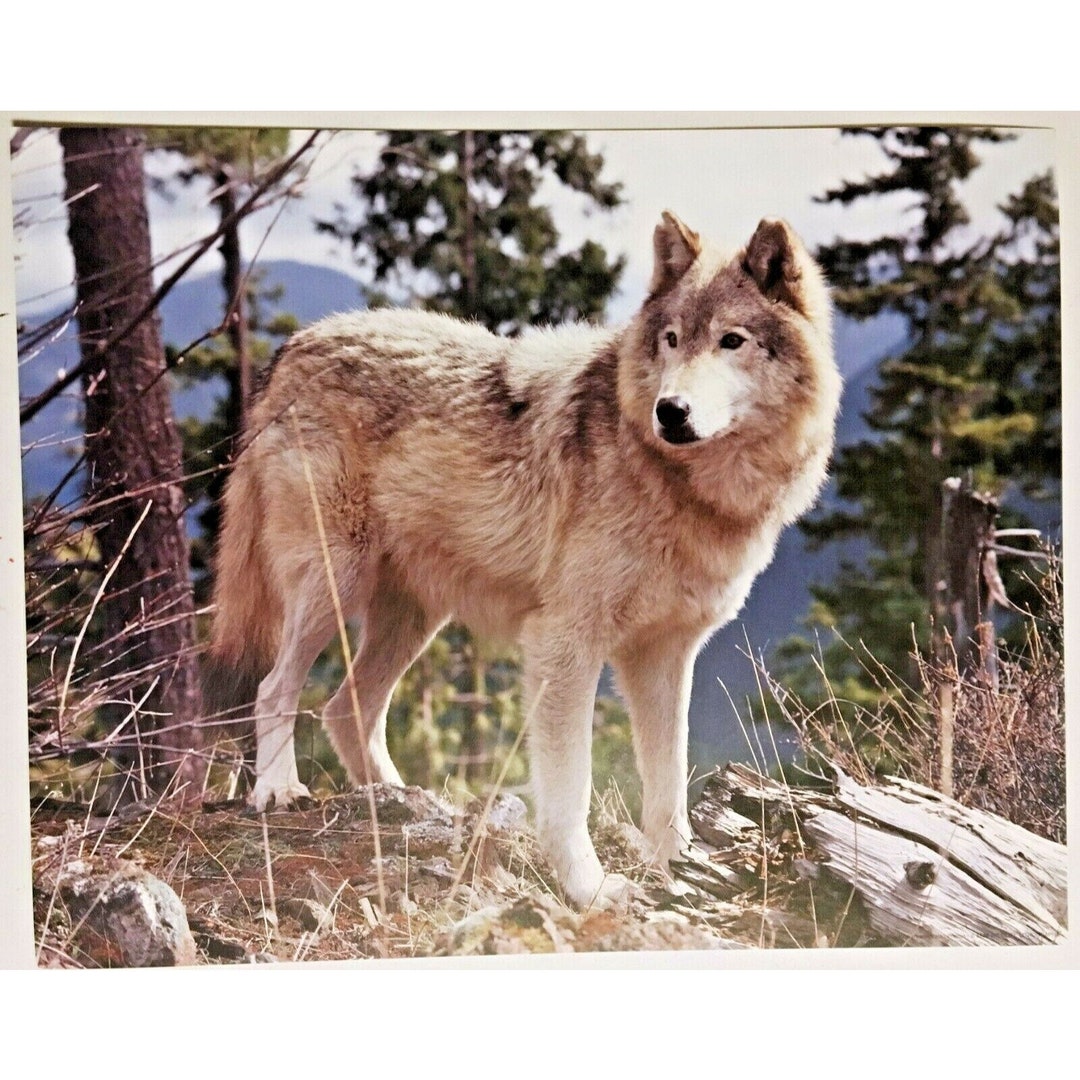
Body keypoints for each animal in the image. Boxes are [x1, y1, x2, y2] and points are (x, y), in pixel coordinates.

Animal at [209, 212, 840, 908]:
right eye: (672, 340)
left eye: (731, 341)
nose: (670, 412)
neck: (686, 490)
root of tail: (294, 346)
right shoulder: (564, 643)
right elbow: (571, 791)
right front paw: (591, 889)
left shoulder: (666, 656)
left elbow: (669, 782)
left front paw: (678, 868)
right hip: (333, 585)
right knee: (274, 687)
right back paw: (278, 789)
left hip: (412, 620)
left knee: (347, 709)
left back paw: (402, 802)